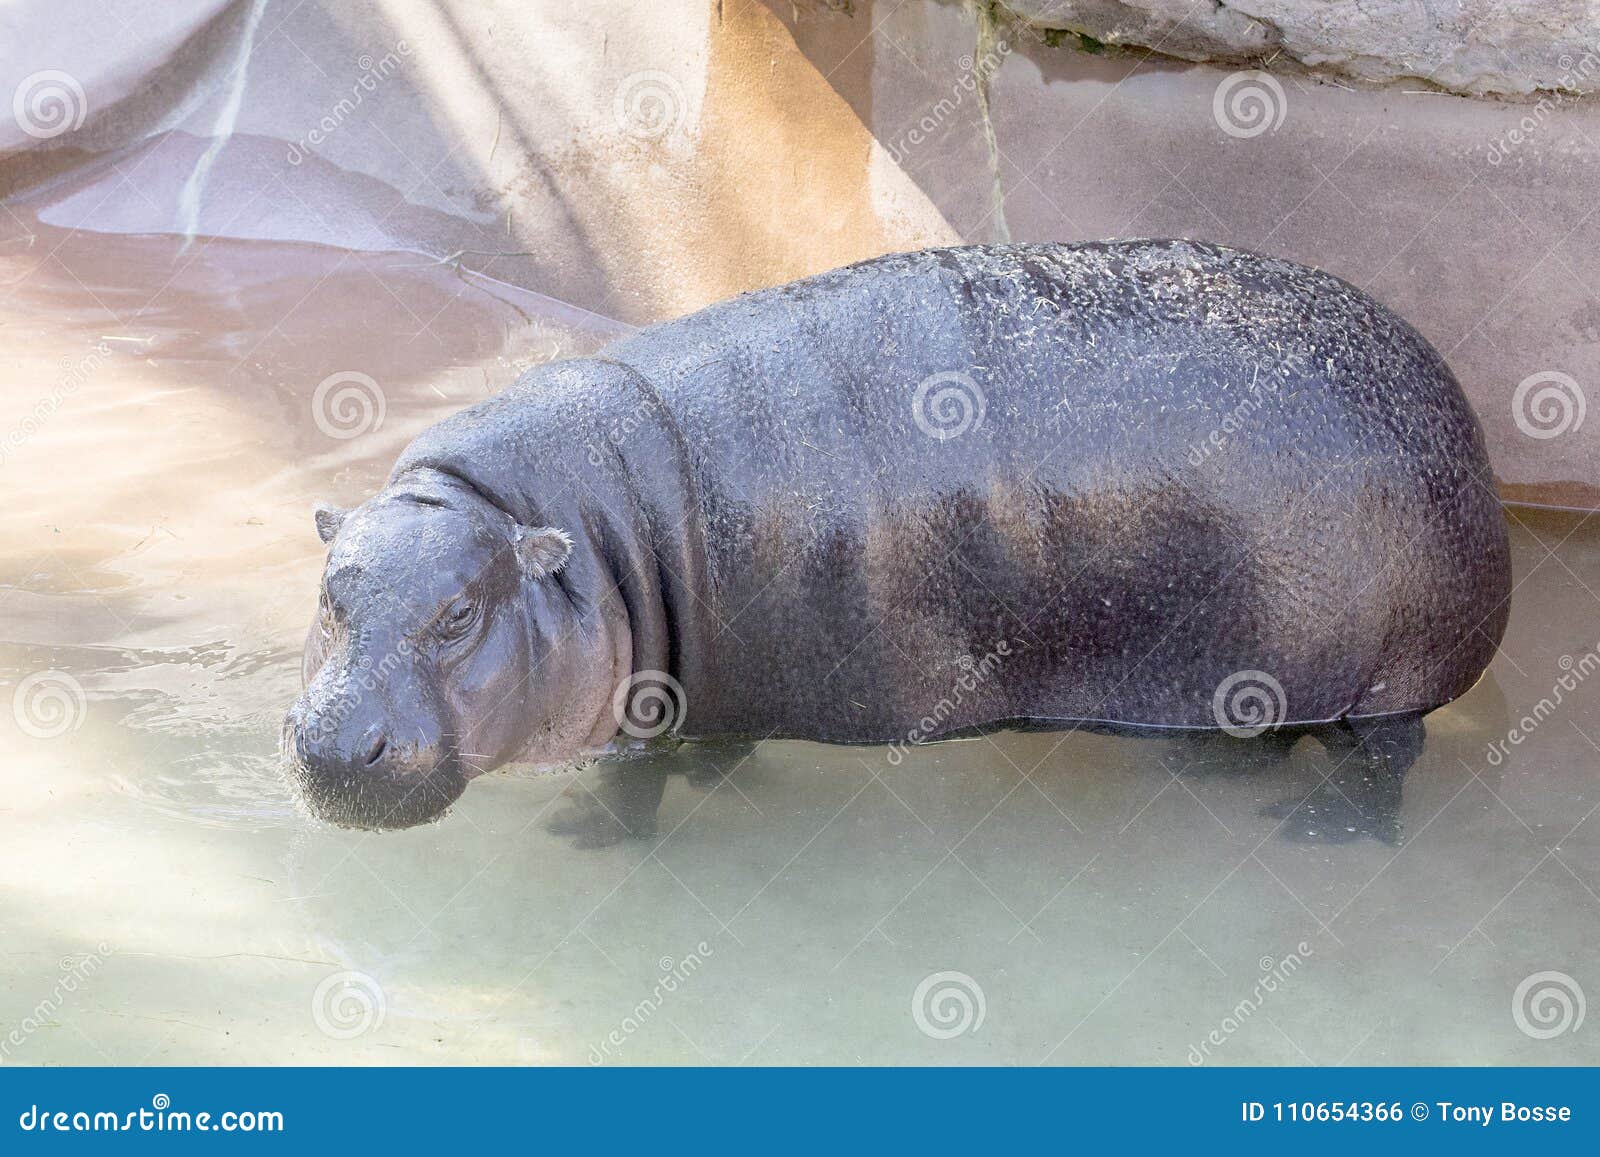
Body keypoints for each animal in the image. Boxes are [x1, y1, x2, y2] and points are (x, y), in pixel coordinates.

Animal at [282, 240, 1511, 833]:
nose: (336, 745)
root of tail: (1461, 421)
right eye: (329, 590)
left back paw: (1317, 829)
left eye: (458, 614)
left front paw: (586, 829)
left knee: (1381, 763)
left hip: (1385, 674)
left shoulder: (667, 704)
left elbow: (645, 783)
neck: (565, 530)